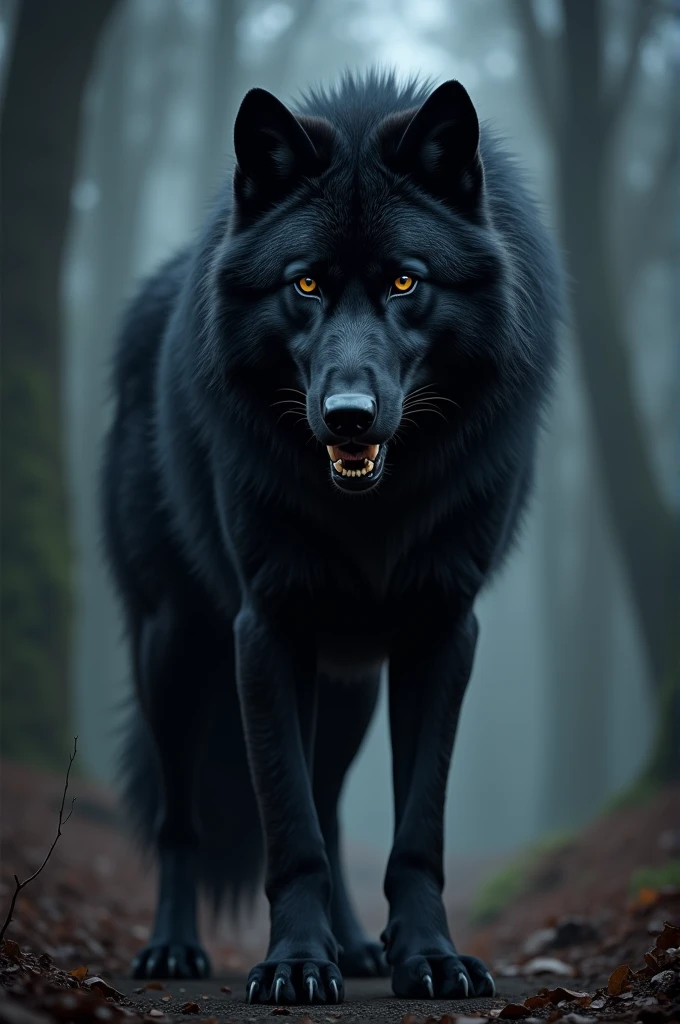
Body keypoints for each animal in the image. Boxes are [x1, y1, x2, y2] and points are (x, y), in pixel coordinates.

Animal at [101, 71, 562, 1003]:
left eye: (404, 283)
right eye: (306, 285)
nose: (348, 416)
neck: (370, 509)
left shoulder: (441, 630)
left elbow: (413, 827)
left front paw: (428, 958)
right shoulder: (267, 627)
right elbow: (289, 826)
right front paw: (292, 966)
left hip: (348, 681)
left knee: (331, 794)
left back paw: (356, 947)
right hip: (177, 649)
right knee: (180, 817)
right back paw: (174, 949)